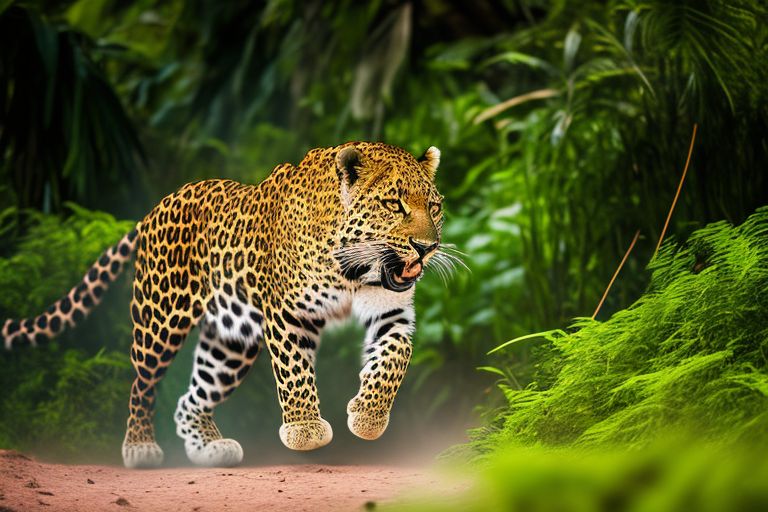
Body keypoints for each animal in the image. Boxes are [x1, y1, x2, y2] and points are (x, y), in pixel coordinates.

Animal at [1, 142, 458, 469]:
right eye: (393, 204)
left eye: (434, 206)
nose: (426, 246)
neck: (355, 268)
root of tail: (156, 207)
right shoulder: (288, 314)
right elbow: (294, 372)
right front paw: (306, 430)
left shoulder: (390, 312)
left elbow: (394, 357)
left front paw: (367, 417)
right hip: (160, 318)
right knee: (141, 383)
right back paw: (139, 447)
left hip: (231, 344)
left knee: (190, 399)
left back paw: (209, 448)